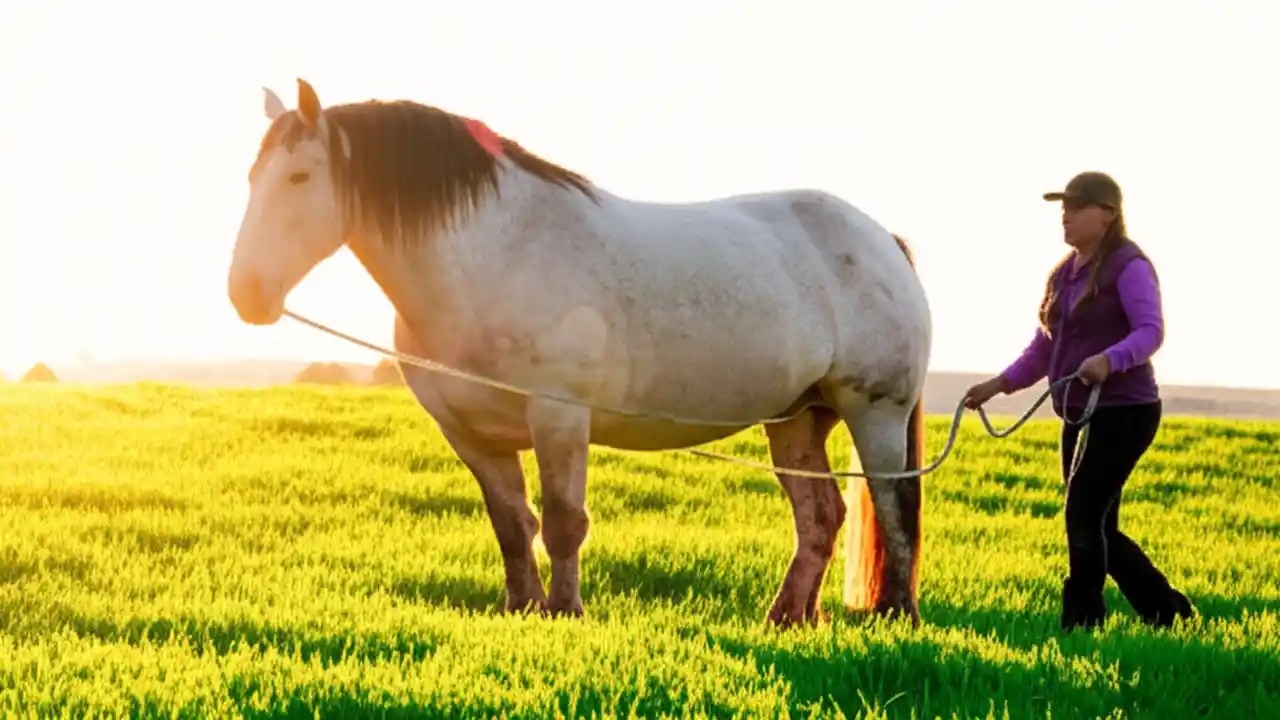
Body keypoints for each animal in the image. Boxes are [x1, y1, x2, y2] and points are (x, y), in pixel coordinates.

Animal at [227, 78, 932, 627]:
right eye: (252, 177)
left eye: (298, 176)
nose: (245, 295)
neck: (494, 258)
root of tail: (882, 239)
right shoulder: (471, 434)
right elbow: (511, 524)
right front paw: (522, 609)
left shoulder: (559, 418)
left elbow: (564, 520)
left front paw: (567, 612)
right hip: (797, 418)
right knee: (821, 516)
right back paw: (788, 617)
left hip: (875, 413)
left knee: (893, 508)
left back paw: (895, 615)